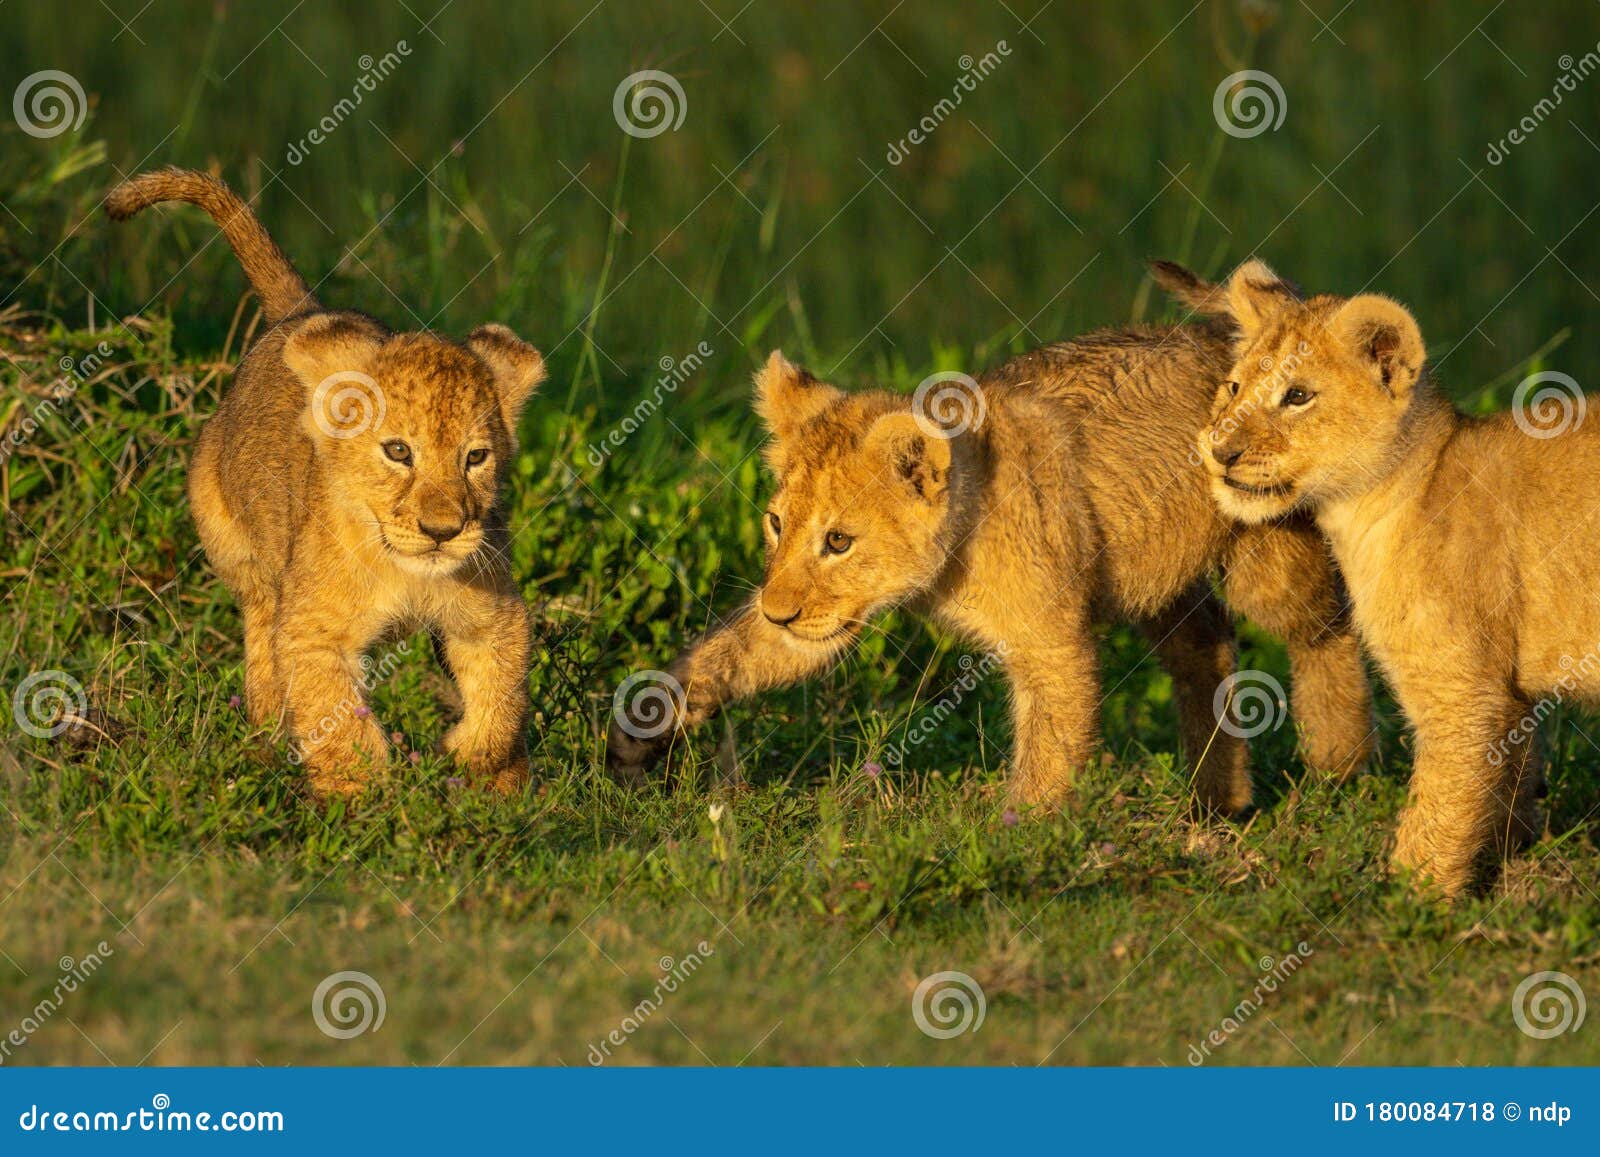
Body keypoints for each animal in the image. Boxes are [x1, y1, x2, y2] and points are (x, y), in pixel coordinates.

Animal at [107, 168, 547, 796]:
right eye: (398, 452)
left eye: (476, 458)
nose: (442, 531)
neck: (404, 570)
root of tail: (298, 313)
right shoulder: (314, 630)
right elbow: (336, 717)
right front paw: (360, 796)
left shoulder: (494, 614)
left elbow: (503, 697)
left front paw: (473, 758)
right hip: (244, 555)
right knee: (262, 640)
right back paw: (267, 736)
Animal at [607, 324, 1376, 815]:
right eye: (776, 524)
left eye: (838, 540)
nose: (778, 608)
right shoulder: (816, 615)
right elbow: (740, 650)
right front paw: (644, 728)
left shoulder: (1050, 640)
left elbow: (1047, 745)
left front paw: (1020, 836)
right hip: (1155, 572)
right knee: (1206, 647)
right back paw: (1219, 799)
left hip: (1263, 554)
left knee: (1326, 621)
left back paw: (1338, 759)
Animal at [1160, 257, 1560, 896]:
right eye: (1234, 387)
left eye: (1298, 396)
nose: (1219, 451)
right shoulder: (1509, 688)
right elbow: (1512, 778)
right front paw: (1508, 852)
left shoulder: (1462, 687)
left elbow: (1441, 802)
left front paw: (1408, 896)